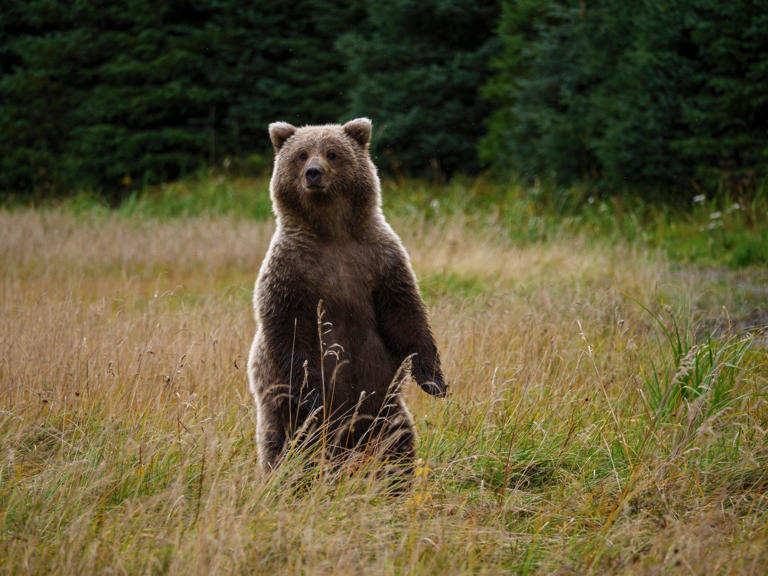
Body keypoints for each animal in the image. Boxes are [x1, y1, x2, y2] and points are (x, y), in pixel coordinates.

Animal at [247, 117, 446, 476]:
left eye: (332, 152)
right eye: (301, 154)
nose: (313, 172)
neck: (333, 231)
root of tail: (347, 442)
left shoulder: (379, 260)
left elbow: (405, 314)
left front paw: (434, 381)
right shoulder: (291, 269)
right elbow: (290, 327)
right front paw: (313, 395)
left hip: (385, 410)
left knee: (398, 445)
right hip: (285, 414)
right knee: (286, 449)